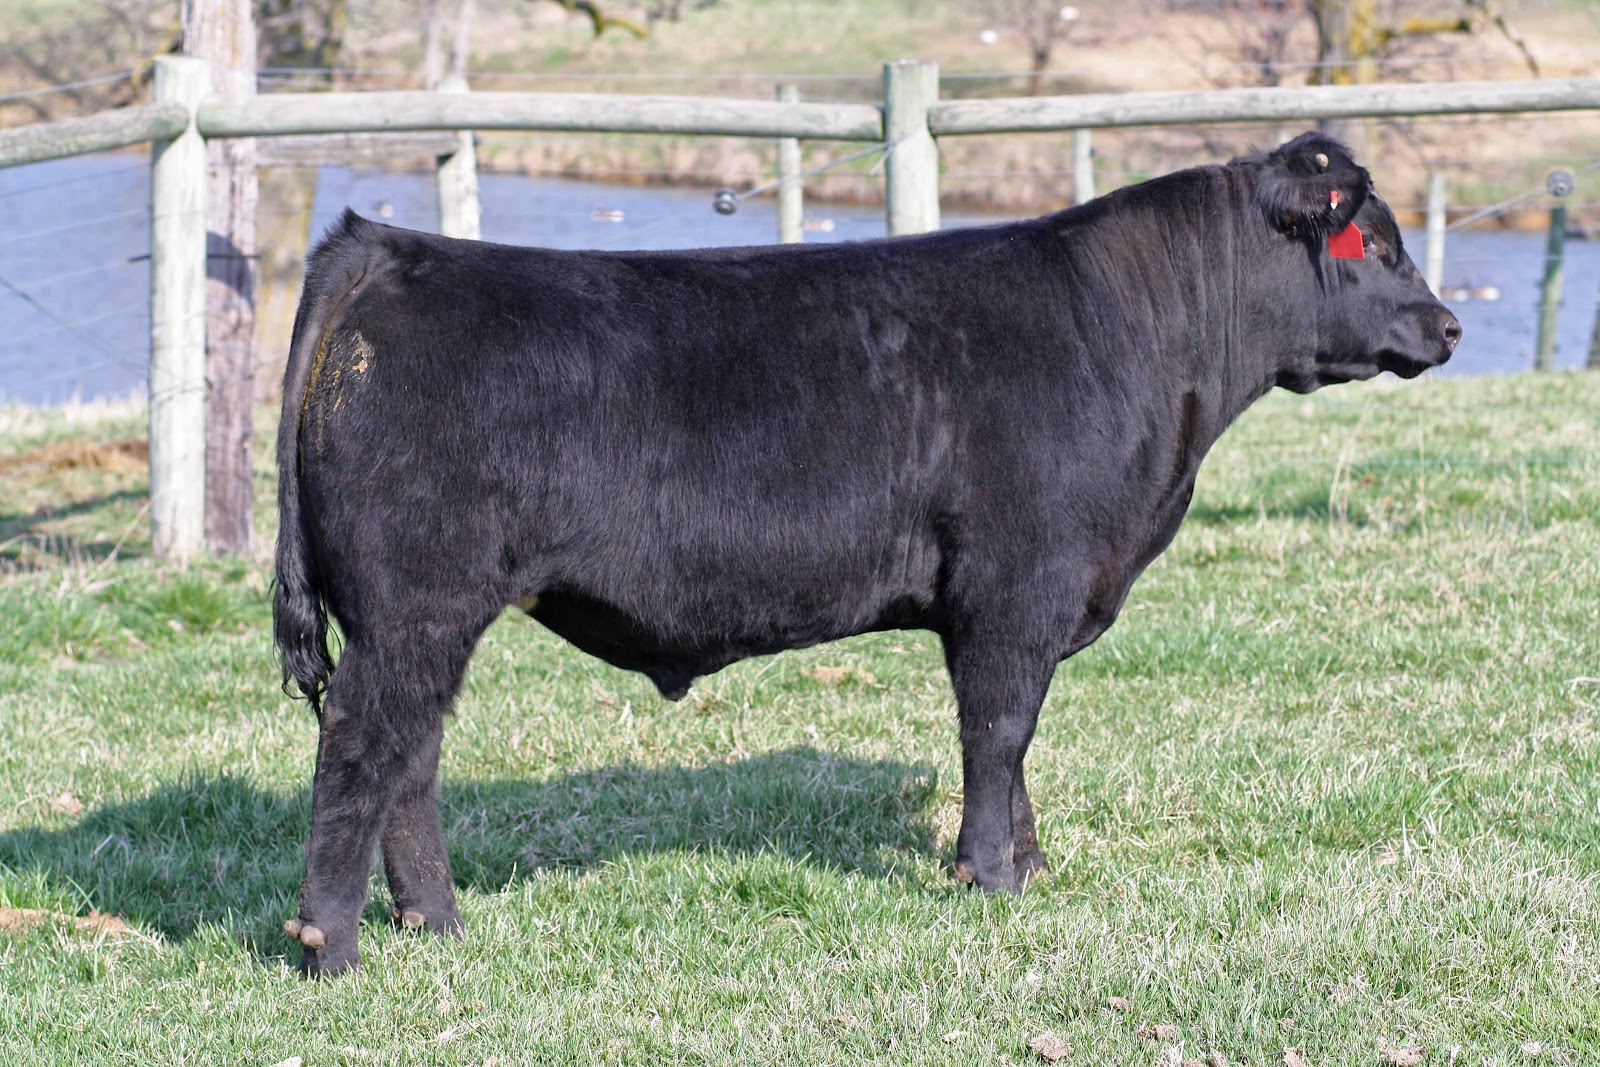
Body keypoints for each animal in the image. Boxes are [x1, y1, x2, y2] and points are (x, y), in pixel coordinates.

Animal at [273, 132, 1459, 975]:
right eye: (1371, 243)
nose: (1448, 326)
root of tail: (391, 247)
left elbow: (1016, 746)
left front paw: (1027, 862)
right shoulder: (1018, 586)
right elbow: (998, 731)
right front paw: (991, 877)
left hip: (420, 621)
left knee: (412, 758)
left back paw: (438, 924)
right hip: (415, 607)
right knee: (363, 750)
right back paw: (336, 948)